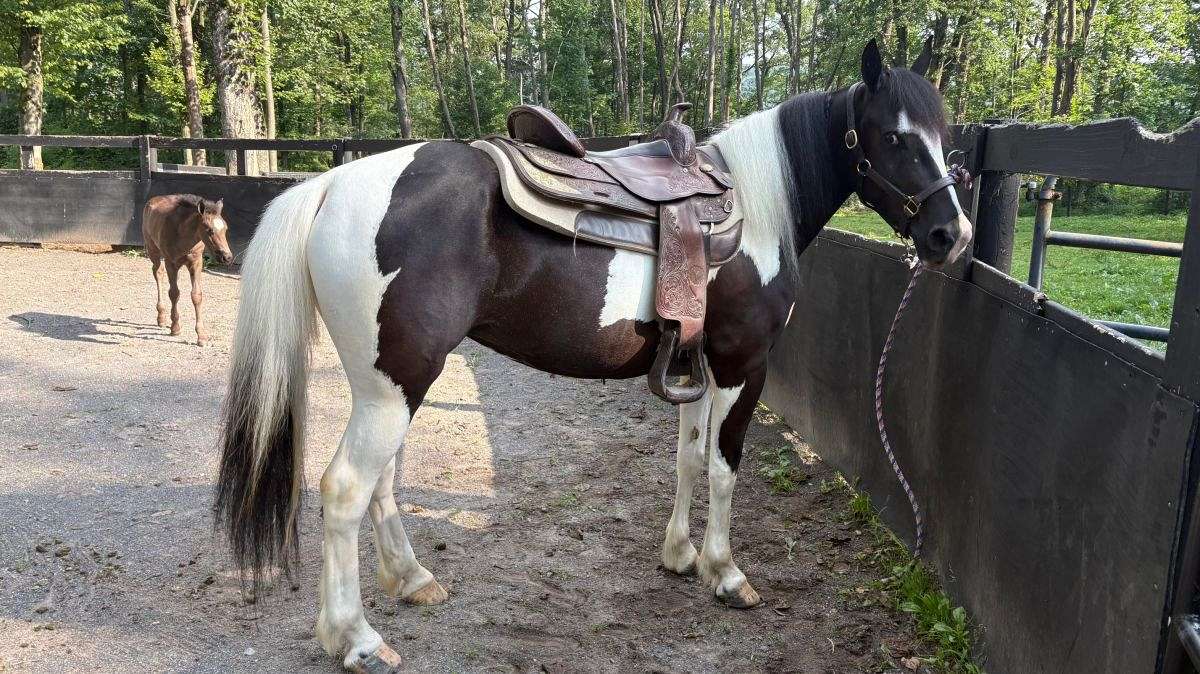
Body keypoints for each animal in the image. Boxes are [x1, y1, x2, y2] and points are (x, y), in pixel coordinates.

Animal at [142, 194, 235, 346]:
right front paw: (175, 328)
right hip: (153, 251)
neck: (184, 235)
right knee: (158, 273)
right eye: (210, 230)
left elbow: (196, 295)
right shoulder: (171, 263)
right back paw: (161, 316)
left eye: (225, 229)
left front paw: (201, 336)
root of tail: (153, 199)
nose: (227, 257)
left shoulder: (196, 263)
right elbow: (174, 293)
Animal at [215, 40, 972, 672]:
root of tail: (330, 187)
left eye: (945, 137)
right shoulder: (740, 367)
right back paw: (356, 638)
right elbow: (725, 468)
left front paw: (681, 556)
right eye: (895, 136)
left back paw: (411, 580)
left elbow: (687, 459)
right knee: (346, 489)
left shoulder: (694, 365)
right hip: (394, 385)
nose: (951, 235)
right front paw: (726, 573)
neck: (754, 211)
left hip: (388, 384)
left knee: (382, 483)